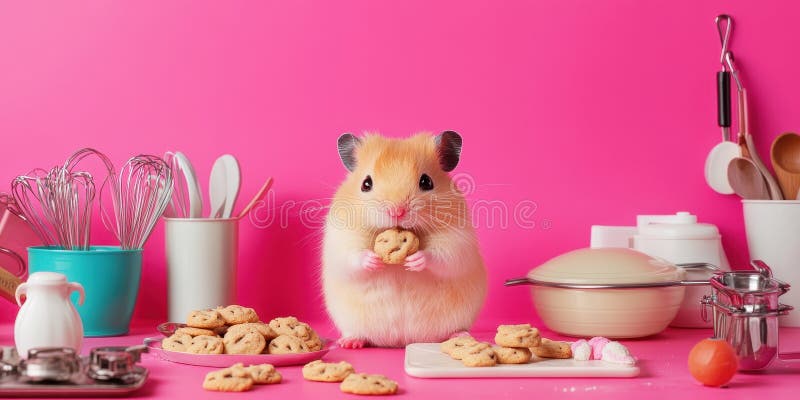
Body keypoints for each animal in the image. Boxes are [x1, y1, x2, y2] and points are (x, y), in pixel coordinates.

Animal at [322, 131, 487, 348]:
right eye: (366, 184)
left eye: (426, 182)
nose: (396, 211)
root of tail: (401, 341)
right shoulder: (341, 237)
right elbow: (352, 256)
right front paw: (374, 261)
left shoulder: (457, 238)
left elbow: (443, 256)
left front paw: (415, 260)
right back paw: (349, 342)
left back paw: (461, 336)